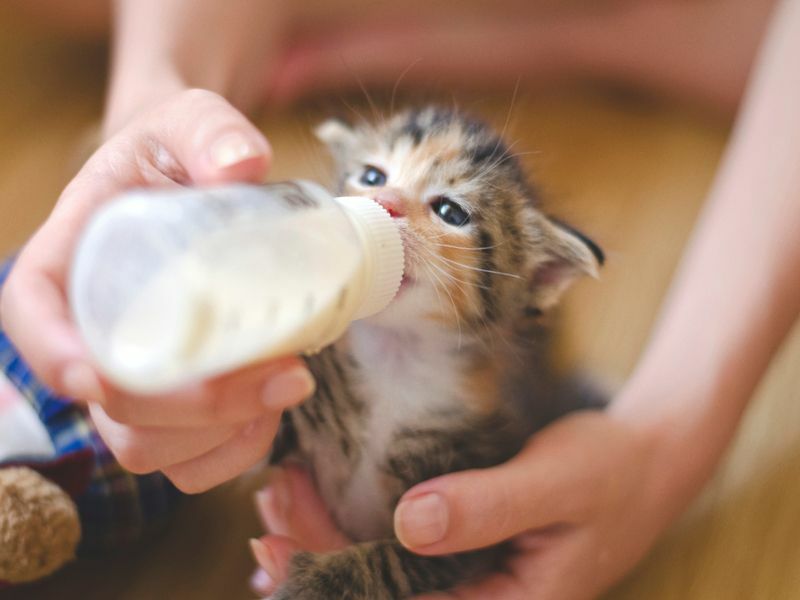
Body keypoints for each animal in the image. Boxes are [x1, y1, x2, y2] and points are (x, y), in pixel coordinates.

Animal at [268, 105, 608, 596]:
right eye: (372, 176)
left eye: (450, 211)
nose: (385, 202)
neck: (397, 353)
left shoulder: (468, 525)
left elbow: (391, 562)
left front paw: (313, 585)